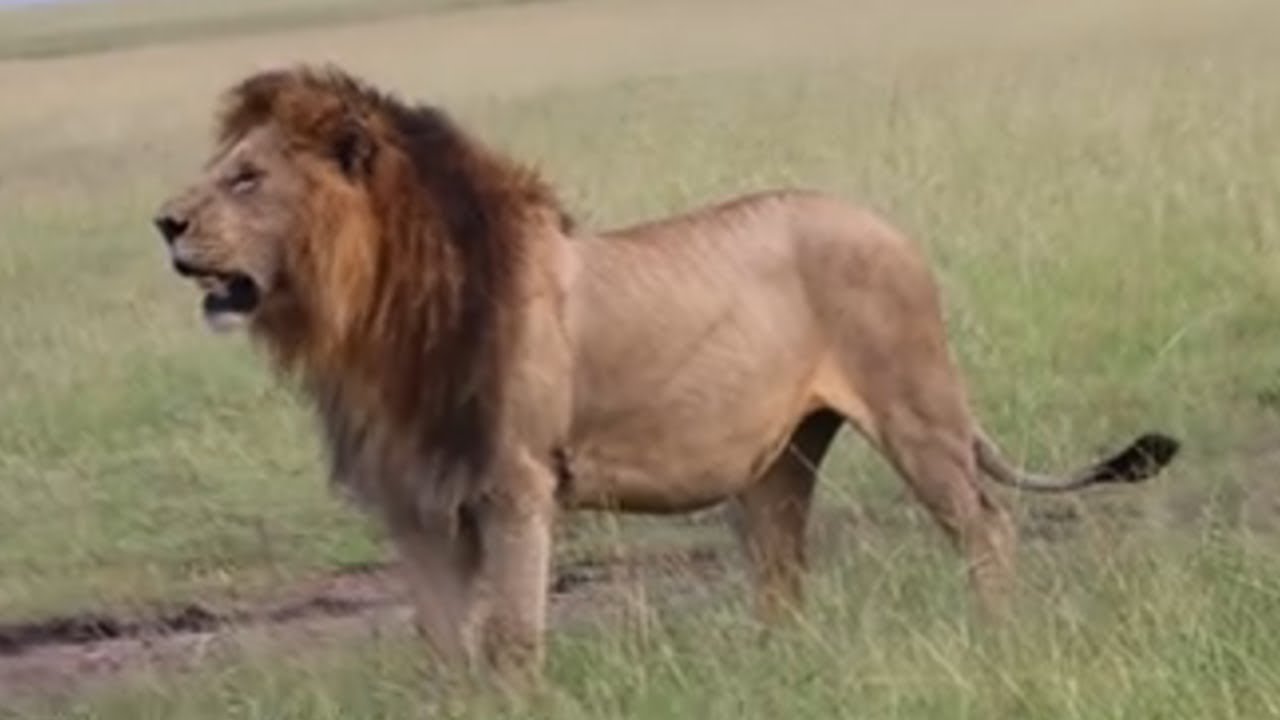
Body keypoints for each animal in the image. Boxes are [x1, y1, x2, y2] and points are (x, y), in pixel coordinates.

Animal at [153, 65, 1179, 681]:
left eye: (246, 179)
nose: (163, 222)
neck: (367, 320)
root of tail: (886, 224)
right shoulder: (412, 502)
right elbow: (444, 647)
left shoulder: (515, 485)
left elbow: (512, 639)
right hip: (776, 466)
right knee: (782, 573)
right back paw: (777, 674)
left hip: (916, 411)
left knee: (986, 524)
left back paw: (999, 640)